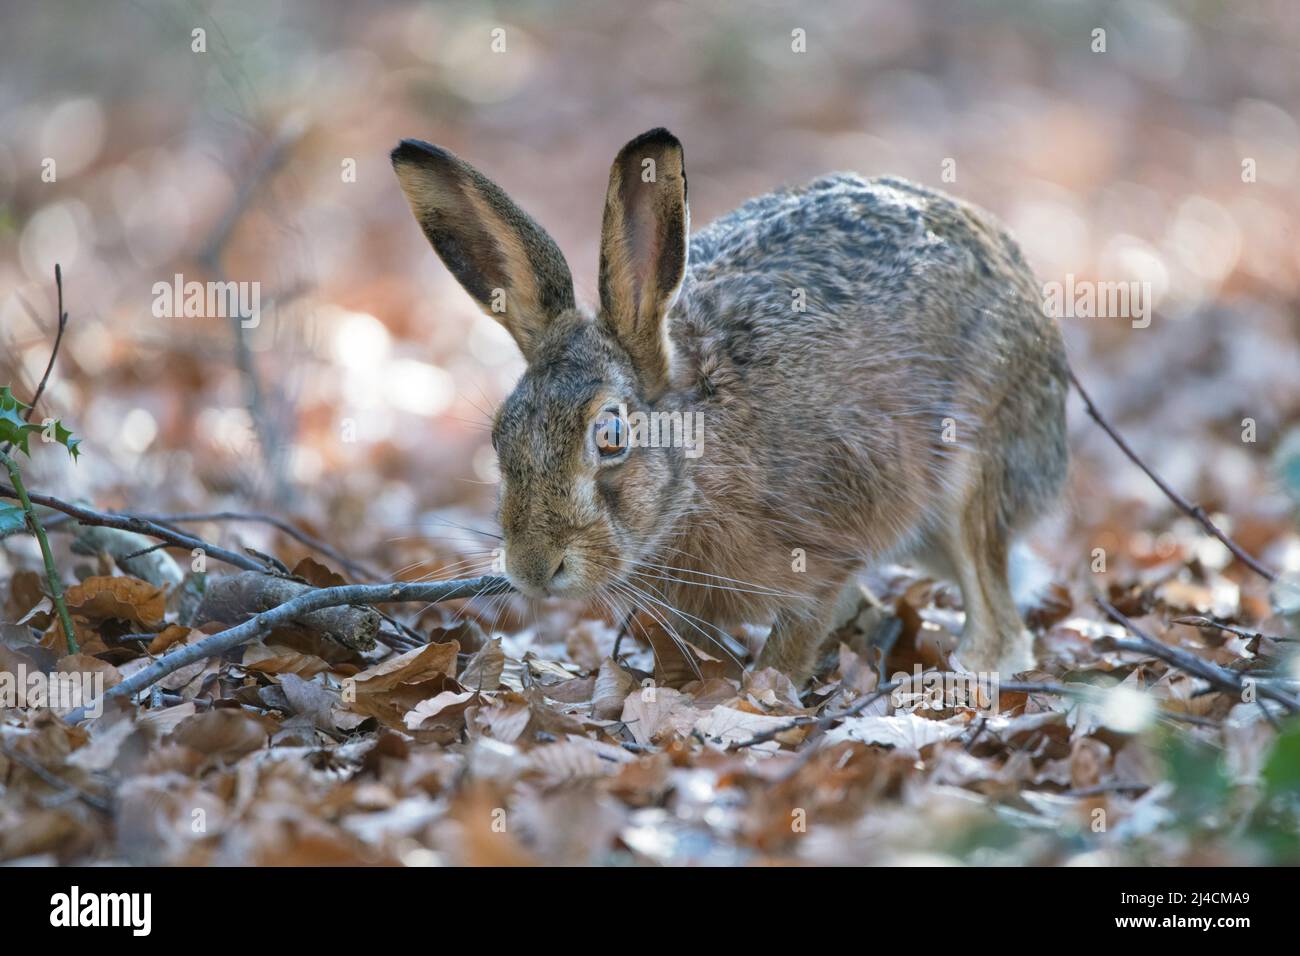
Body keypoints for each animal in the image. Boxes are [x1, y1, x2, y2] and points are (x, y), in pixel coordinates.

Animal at [391, 128, 1069, 685]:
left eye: (611, 436)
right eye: (501, 437)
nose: (534, 566)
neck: (696, 462)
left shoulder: (825, 552)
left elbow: (796, 636)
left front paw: (760, 692)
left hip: (975, 464)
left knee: (995, 601)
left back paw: (977, 665)